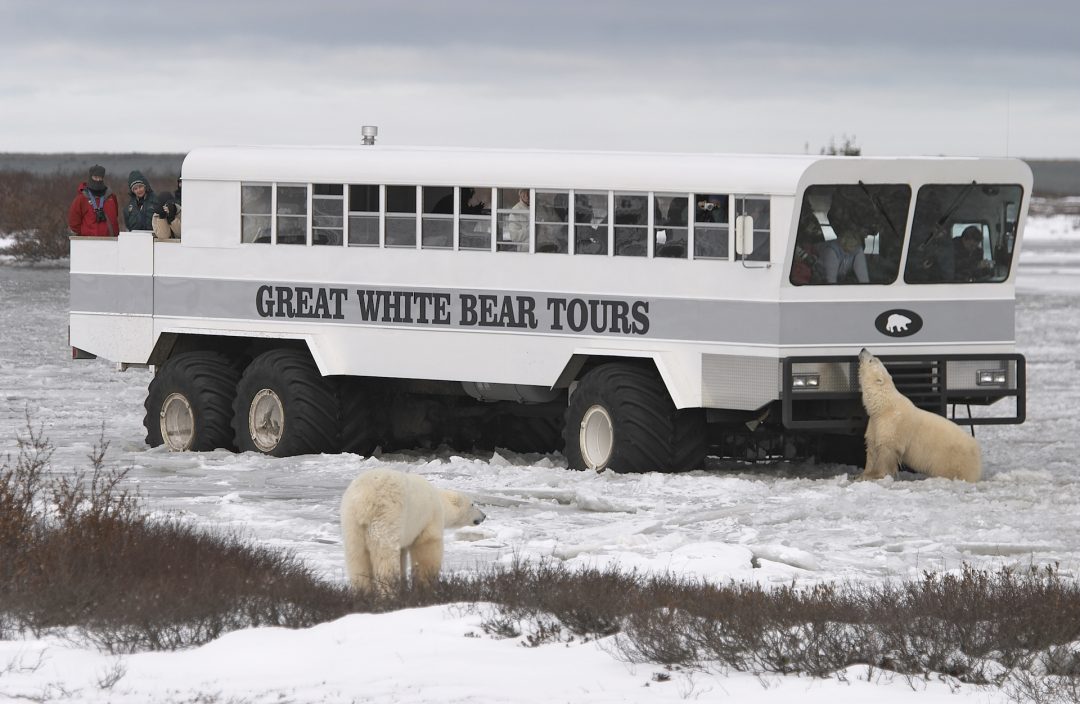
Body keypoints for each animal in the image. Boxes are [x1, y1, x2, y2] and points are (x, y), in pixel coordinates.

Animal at [340, 467, 486, 595]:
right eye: (473, 504)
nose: (484, 516)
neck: (440, 501)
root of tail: (364, 499)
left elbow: (402, 554)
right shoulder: (429, 518)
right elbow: (427, 546)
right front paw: (426, 586)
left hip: (352, 522)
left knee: (356, 556)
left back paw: (362, 593)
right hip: (388, 514)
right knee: (385, 555)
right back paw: (389, 591)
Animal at [857, 348, 982, 482]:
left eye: (872, 360)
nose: (863, 349)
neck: (883, 405)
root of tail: (977, 452)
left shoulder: (892, 424)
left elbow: (886, 449)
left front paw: (876, 475)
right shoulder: (875, 422)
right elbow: (872, 446)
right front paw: (862, 475)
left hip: (953, 459)